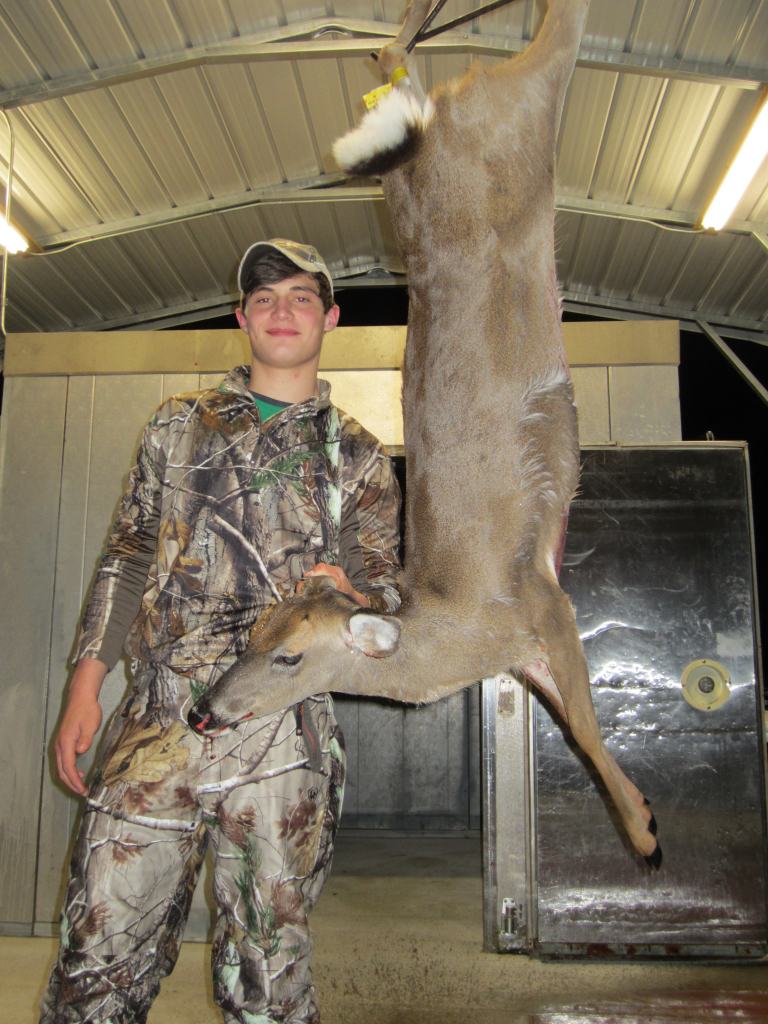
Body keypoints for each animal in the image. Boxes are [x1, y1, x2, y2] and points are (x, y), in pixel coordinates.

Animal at [188, 0, 661, 868]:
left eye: (290, 654)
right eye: (252, 632)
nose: (204, 711)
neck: (461, 630)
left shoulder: (545, 604)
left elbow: (583, 729)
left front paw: (645, 834)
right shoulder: (531, 641)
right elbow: (575, 724)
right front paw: (646, 817)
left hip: (527, 103)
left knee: (557, 27)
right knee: (406, 54)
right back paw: (398, 51)